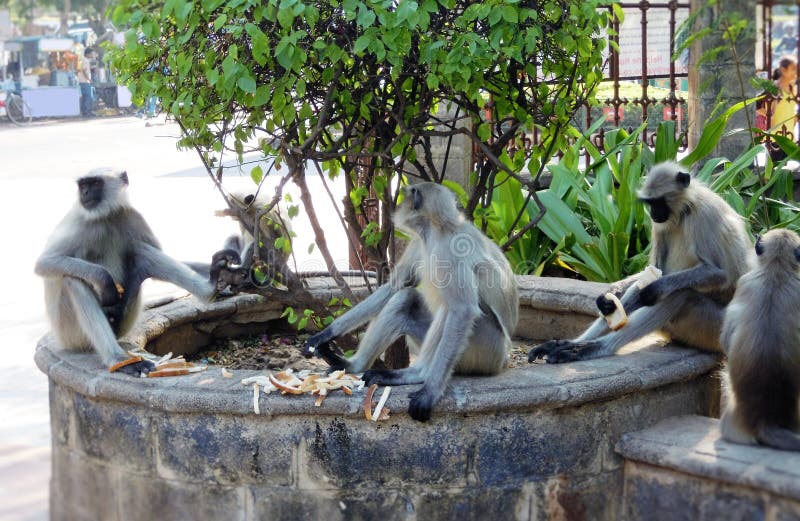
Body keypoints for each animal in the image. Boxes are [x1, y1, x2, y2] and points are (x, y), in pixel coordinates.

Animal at [35, 168, 231, 376]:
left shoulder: (132, 215)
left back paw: (212, 286)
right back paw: (119, 359)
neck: (106, 216)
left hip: (122, 321)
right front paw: (104, 281)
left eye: (95, 183)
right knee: (73, 279)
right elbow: (44, 263)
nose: (85, 193)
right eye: (83, 185)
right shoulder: (79, 221)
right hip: (71, 335)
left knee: (141, 252)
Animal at [304, 182, 519, 422]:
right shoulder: (418, 242)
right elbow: (393, 288)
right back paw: (355, 365)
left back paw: (419, 375)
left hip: (486, 351)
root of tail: (505, 359)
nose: (396, 205)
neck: (435, 230)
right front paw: (324, 335)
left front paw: (430, 393)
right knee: (404, 298)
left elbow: (463, 310)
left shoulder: (453, 246)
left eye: (407, 194)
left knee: (452, 309)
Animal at [529, 161, 754, 364]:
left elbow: (720, 275)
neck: (684, 211)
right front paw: (609, 295)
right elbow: (653, 271)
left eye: (660, 201)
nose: (654, 213)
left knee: (680, 294)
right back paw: (571, 343)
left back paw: (597, 348)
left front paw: (656, 287)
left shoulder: (704, 215)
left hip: (714, 329)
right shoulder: (660, 226)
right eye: (650, 203)